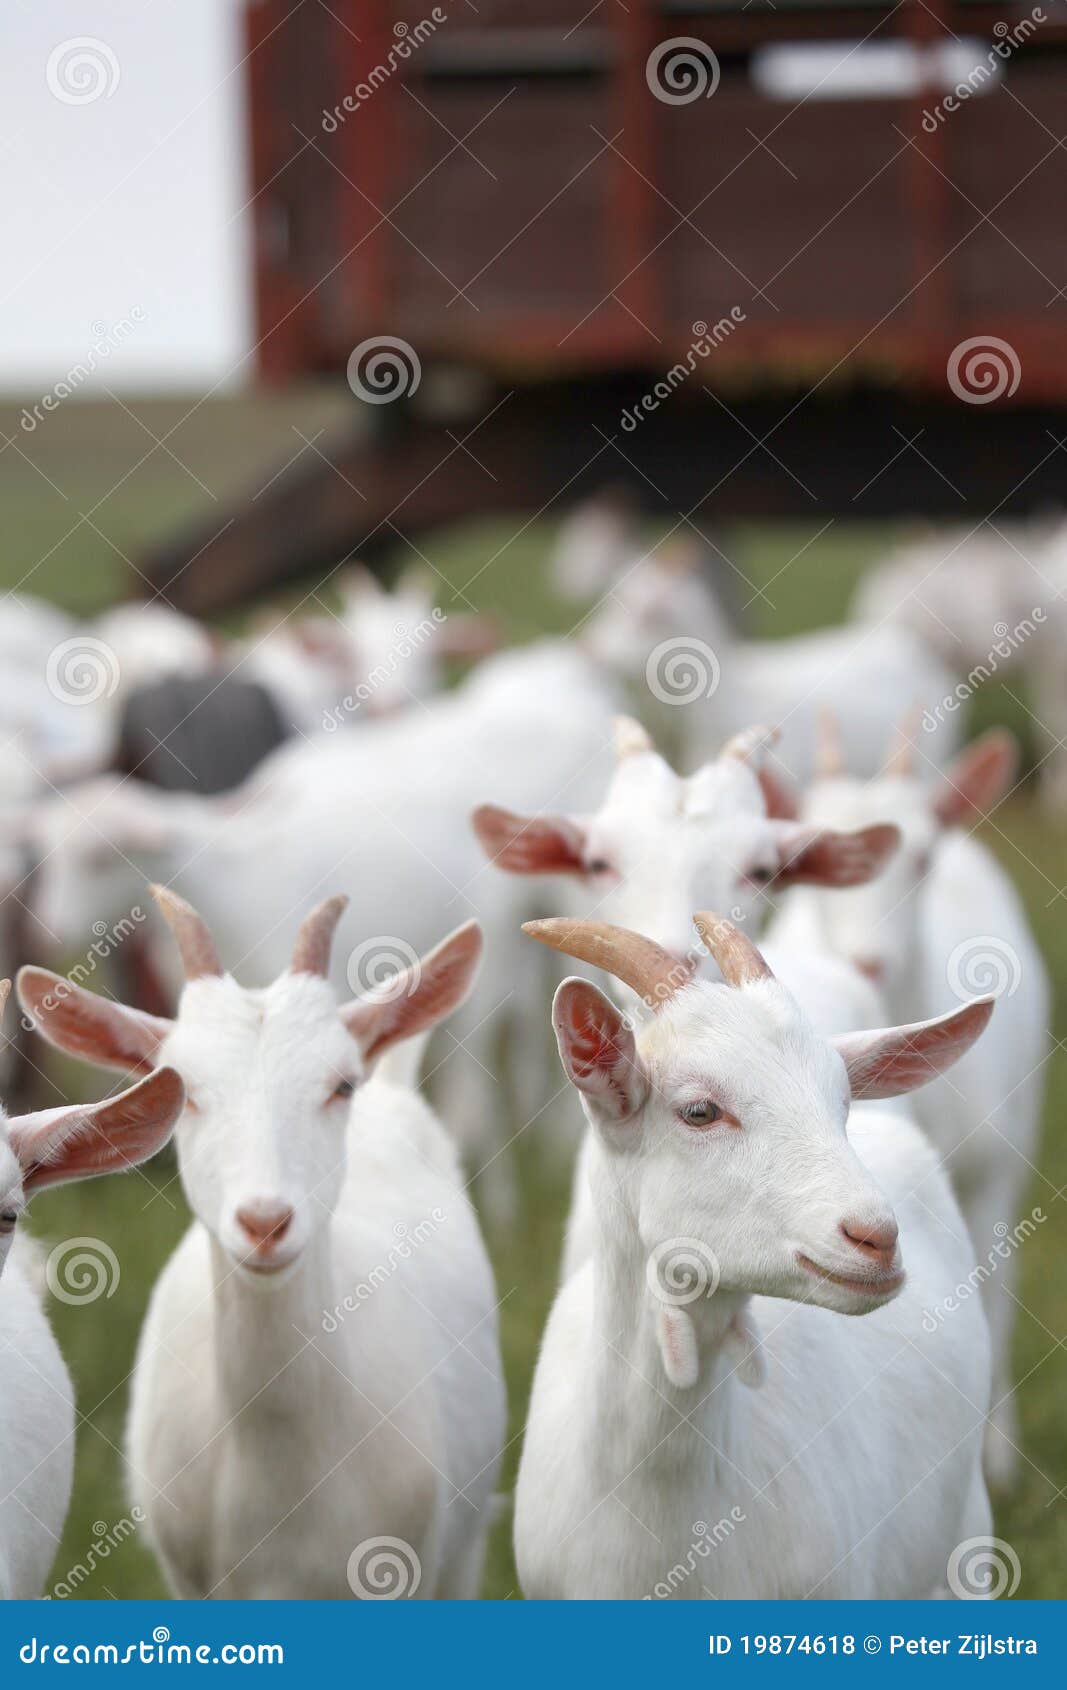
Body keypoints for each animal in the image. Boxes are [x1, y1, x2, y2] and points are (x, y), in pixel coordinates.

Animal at [767, 717, 1049, 1490]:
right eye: (803, 860)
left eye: (918, 858)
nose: (868, 962)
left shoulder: (987, 1173)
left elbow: (988, 1293)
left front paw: (995, 1455)